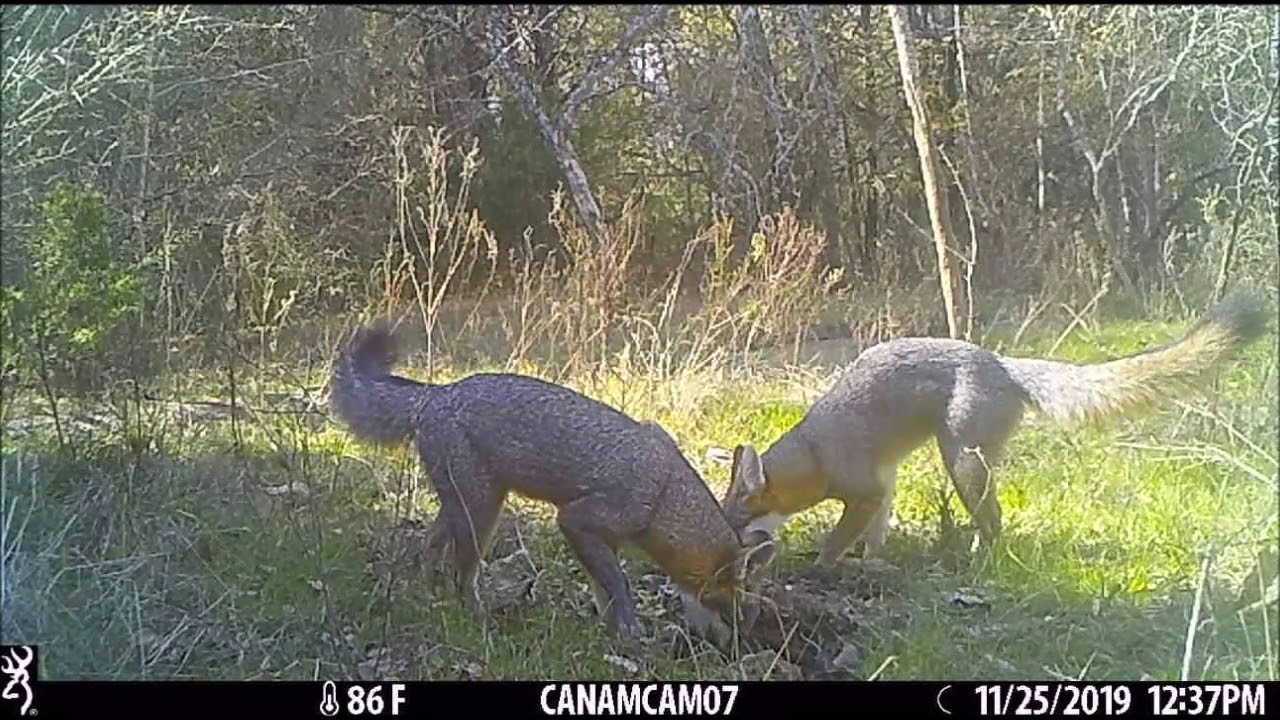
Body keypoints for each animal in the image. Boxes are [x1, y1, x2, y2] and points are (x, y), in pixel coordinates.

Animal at [328, 321, 776, 645]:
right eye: (740, 610)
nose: (742, 644)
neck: (664, 488)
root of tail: (438, 393)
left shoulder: (601, 539)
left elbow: (604, 589)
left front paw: (613, 632)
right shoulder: (577, 520)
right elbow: (619, 585)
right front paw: (630, 631)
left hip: (463, 506)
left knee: (430, 549)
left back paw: (428, 594)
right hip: (481, 515)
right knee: (462, 572)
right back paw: (475, 617)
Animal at [718, 292, 1269, 568]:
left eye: (736, 520)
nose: (729, 553)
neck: (814, 448)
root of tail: (1001, 362)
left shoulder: (865, 488)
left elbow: (838, 538)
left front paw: (825, 564)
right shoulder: (884, 483)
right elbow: (875, 532)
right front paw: (870, 560)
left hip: (963, 465)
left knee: (996, 521)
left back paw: (980, 560)